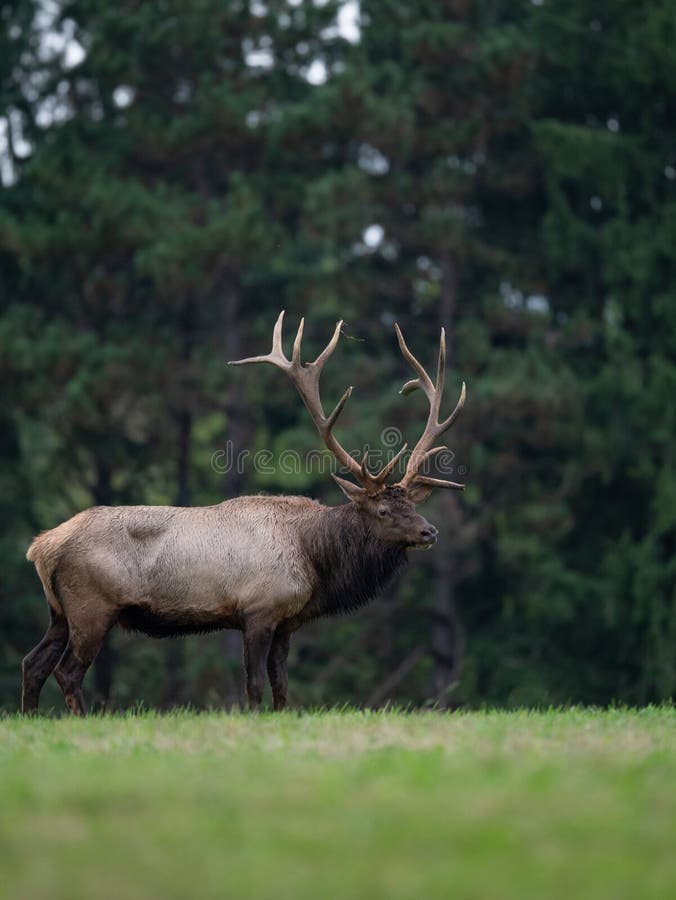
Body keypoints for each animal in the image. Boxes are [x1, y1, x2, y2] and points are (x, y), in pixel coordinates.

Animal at [23, 312, 466, 714]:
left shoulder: (286, 622)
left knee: (33, 663)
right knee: (67, 671)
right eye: (383, 509)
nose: (429, 532)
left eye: (413, 504)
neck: (313, 559)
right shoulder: (258, 610)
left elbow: (282, 687)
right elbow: (253, 686)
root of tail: (40, 548)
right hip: (92, 606)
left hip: (59, 612)